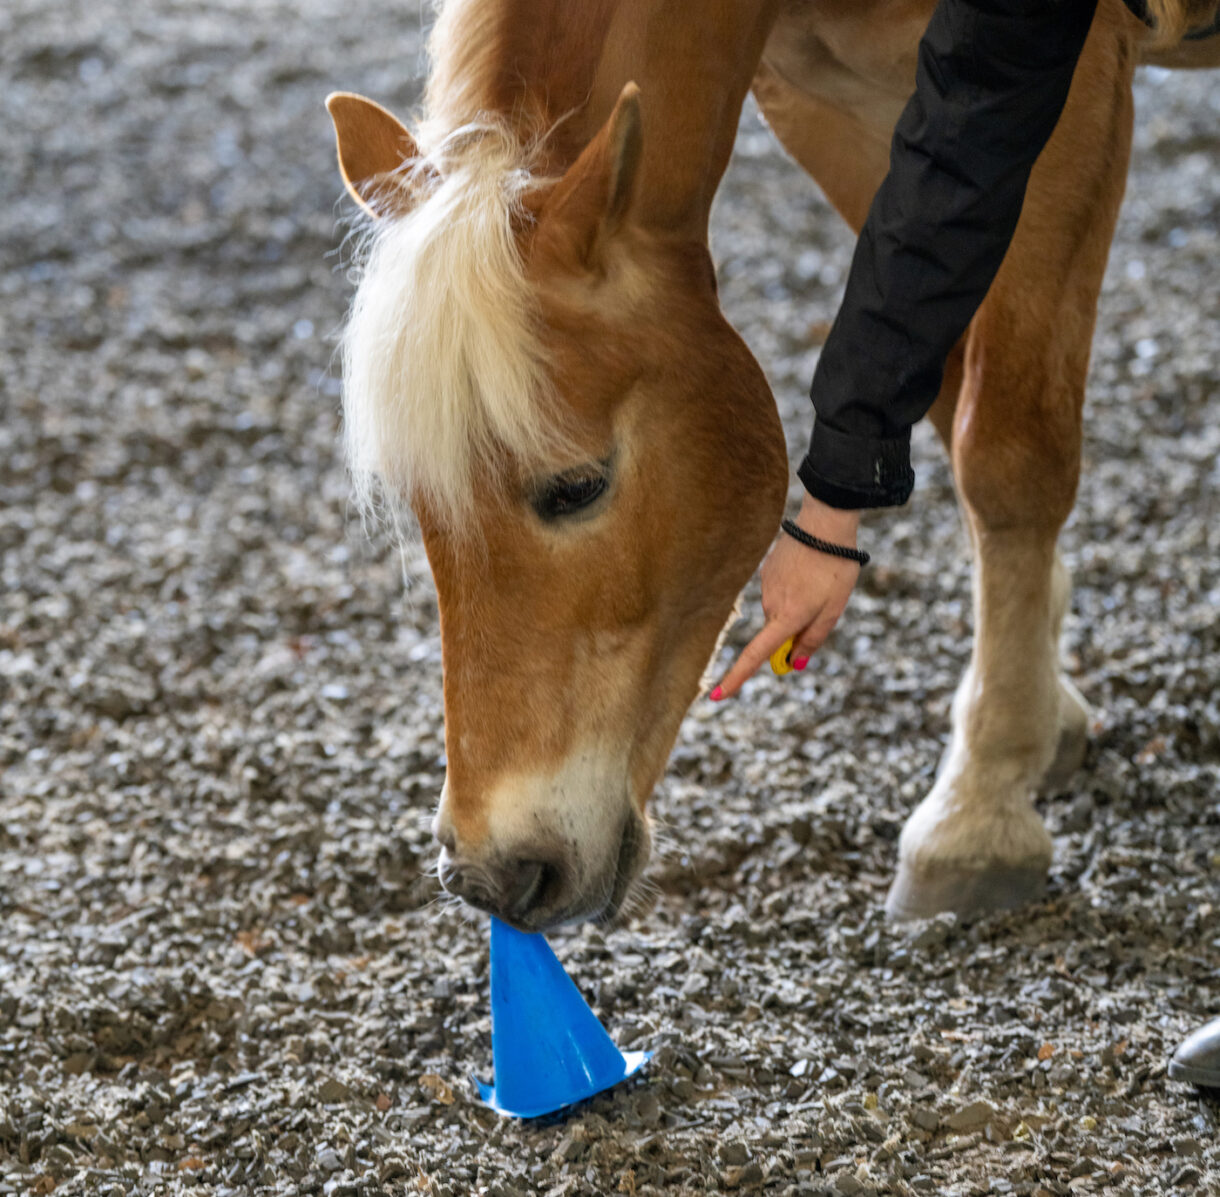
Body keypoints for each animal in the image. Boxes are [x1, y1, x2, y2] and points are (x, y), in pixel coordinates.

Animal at [326, 0, 1219, 931]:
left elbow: (1006, 457)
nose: (493, 877)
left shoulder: (1059, 89)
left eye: (576, 487)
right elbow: (925, 356)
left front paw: (979, 804)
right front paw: (1042, 706)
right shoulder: (834, 104)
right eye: (419, 506)